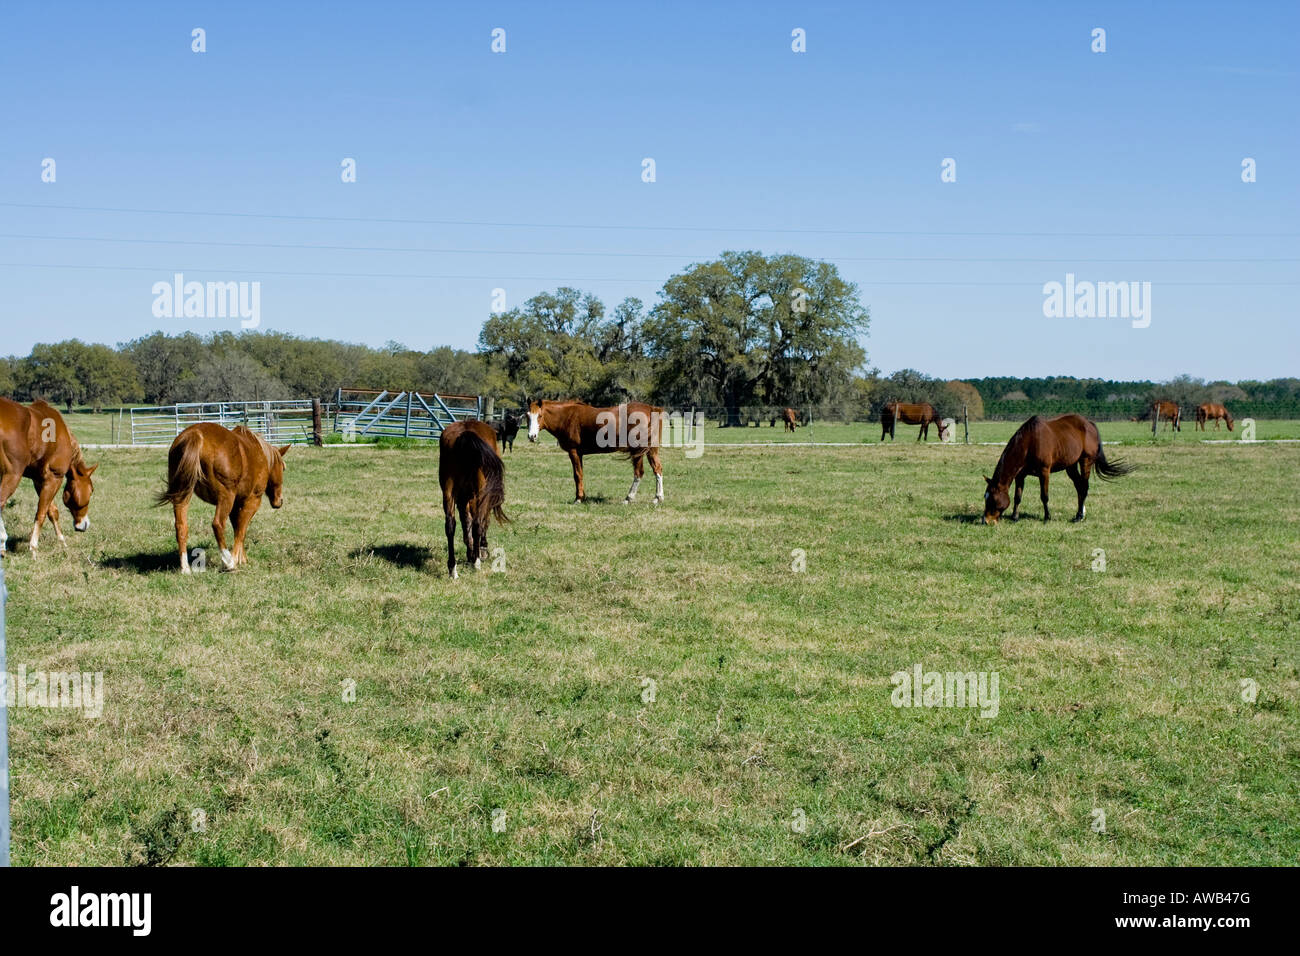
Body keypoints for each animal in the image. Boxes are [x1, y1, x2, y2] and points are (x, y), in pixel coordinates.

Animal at [0, 397, 98, 553]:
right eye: (91, 490)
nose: (84, 525)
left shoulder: (39, 480)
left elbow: (52, 511)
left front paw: (62, 542)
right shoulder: (54, 478)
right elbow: (41, 513)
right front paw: (33, 547)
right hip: (12, 475)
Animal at [154, 423, 289, 572]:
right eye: (283, 468)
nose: (279, 501)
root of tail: (195, 435)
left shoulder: (235, 505)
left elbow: (237, 528)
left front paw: (242, 558)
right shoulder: (252, 501)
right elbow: (241, 530)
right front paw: (236, 559)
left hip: (182, 494)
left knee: (181, 526)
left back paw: (185, 568)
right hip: (225, 497)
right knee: (217, 524)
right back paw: (228, 562)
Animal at [439, 419, 509, 579]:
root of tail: (465, 432)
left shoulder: (462, 499)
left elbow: (466, 523)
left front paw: (470, 552)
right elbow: (481, 522)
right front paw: (480, 551)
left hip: (448, 490)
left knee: (450, 524)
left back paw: (453, 568)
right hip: (480, 492)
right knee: (477, 523)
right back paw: (476, 562)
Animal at [527, 399, 664, 504]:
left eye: (539, 415)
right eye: (527, 416)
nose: (531, 436)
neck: (567, 417)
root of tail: (651, 408)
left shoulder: (573, 452)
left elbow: (577, 475)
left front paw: (578, 499)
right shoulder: (579, 454)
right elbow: (580, 474)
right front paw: (582, 497)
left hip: (637, 451)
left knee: (638, 473)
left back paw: (628, 498)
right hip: (651, 450)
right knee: (657, 469)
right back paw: (658, 498)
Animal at [982, 414, 1133, 525]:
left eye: (992, 498)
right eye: (985, 497)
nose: (985, 521)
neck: (1030, 442)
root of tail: (1089, 424)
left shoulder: (1044, 472)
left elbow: (1044, 496)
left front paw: (1047, 517)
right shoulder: (1020, 475)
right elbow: (1017, 497)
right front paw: (1014, 517)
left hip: (1085, 461)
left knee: (1084, 487)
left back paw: (1079, 516)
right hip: (1070, 466)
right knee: (1079, 487)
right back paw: (1080, 514)